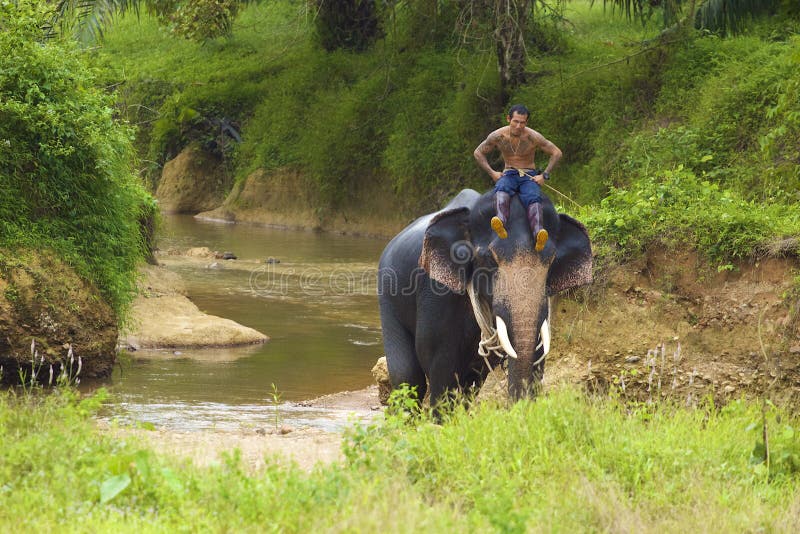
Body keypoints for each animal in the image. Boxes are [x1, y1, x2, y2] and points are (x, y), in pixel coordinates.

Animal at [377, 188, 592, 406]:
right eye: (489, 259)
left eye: (551, 260)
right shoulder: (436, 293)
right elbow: (437, 360)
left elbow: (537, 352)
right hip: (388, 297)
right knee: (407, 376)